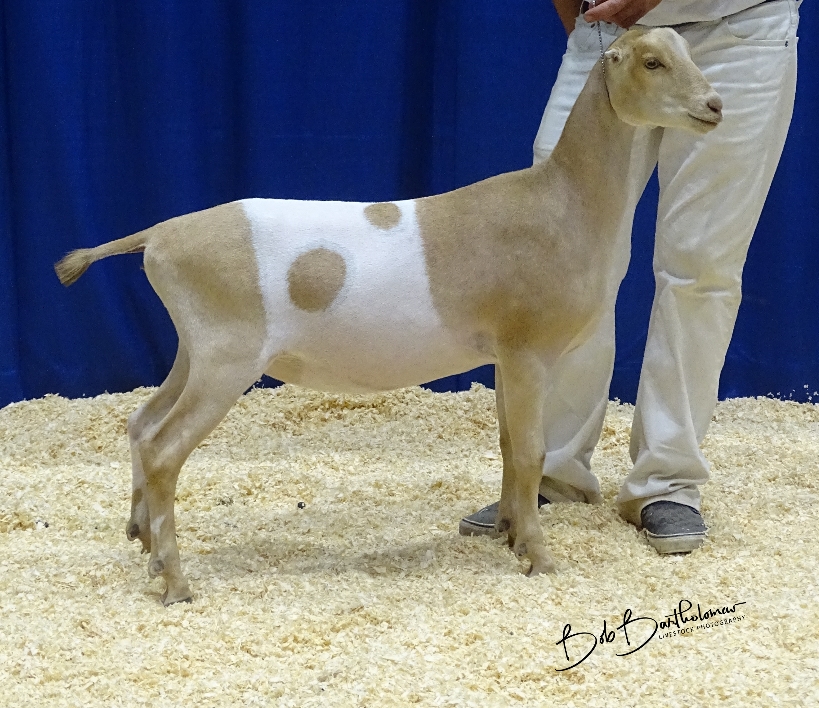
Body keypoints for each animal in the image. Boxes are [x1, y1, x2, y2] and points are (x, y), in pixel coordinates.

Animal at [55, 28, 722, 605]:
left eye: (688, 54)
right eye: (652, 62)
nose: (713, 105)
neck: (563, 203)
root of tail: (157, 235)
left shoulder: (503, 355)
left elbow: (509, 445)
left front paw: (509, 533)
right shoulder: (528, 350)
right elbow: (531, 452)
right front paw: (539, 555)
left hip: (194, 349)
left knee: (142, 424)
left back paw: (142, 540)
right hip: (227, 359)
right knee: (164, 449)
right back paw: (174, 581)